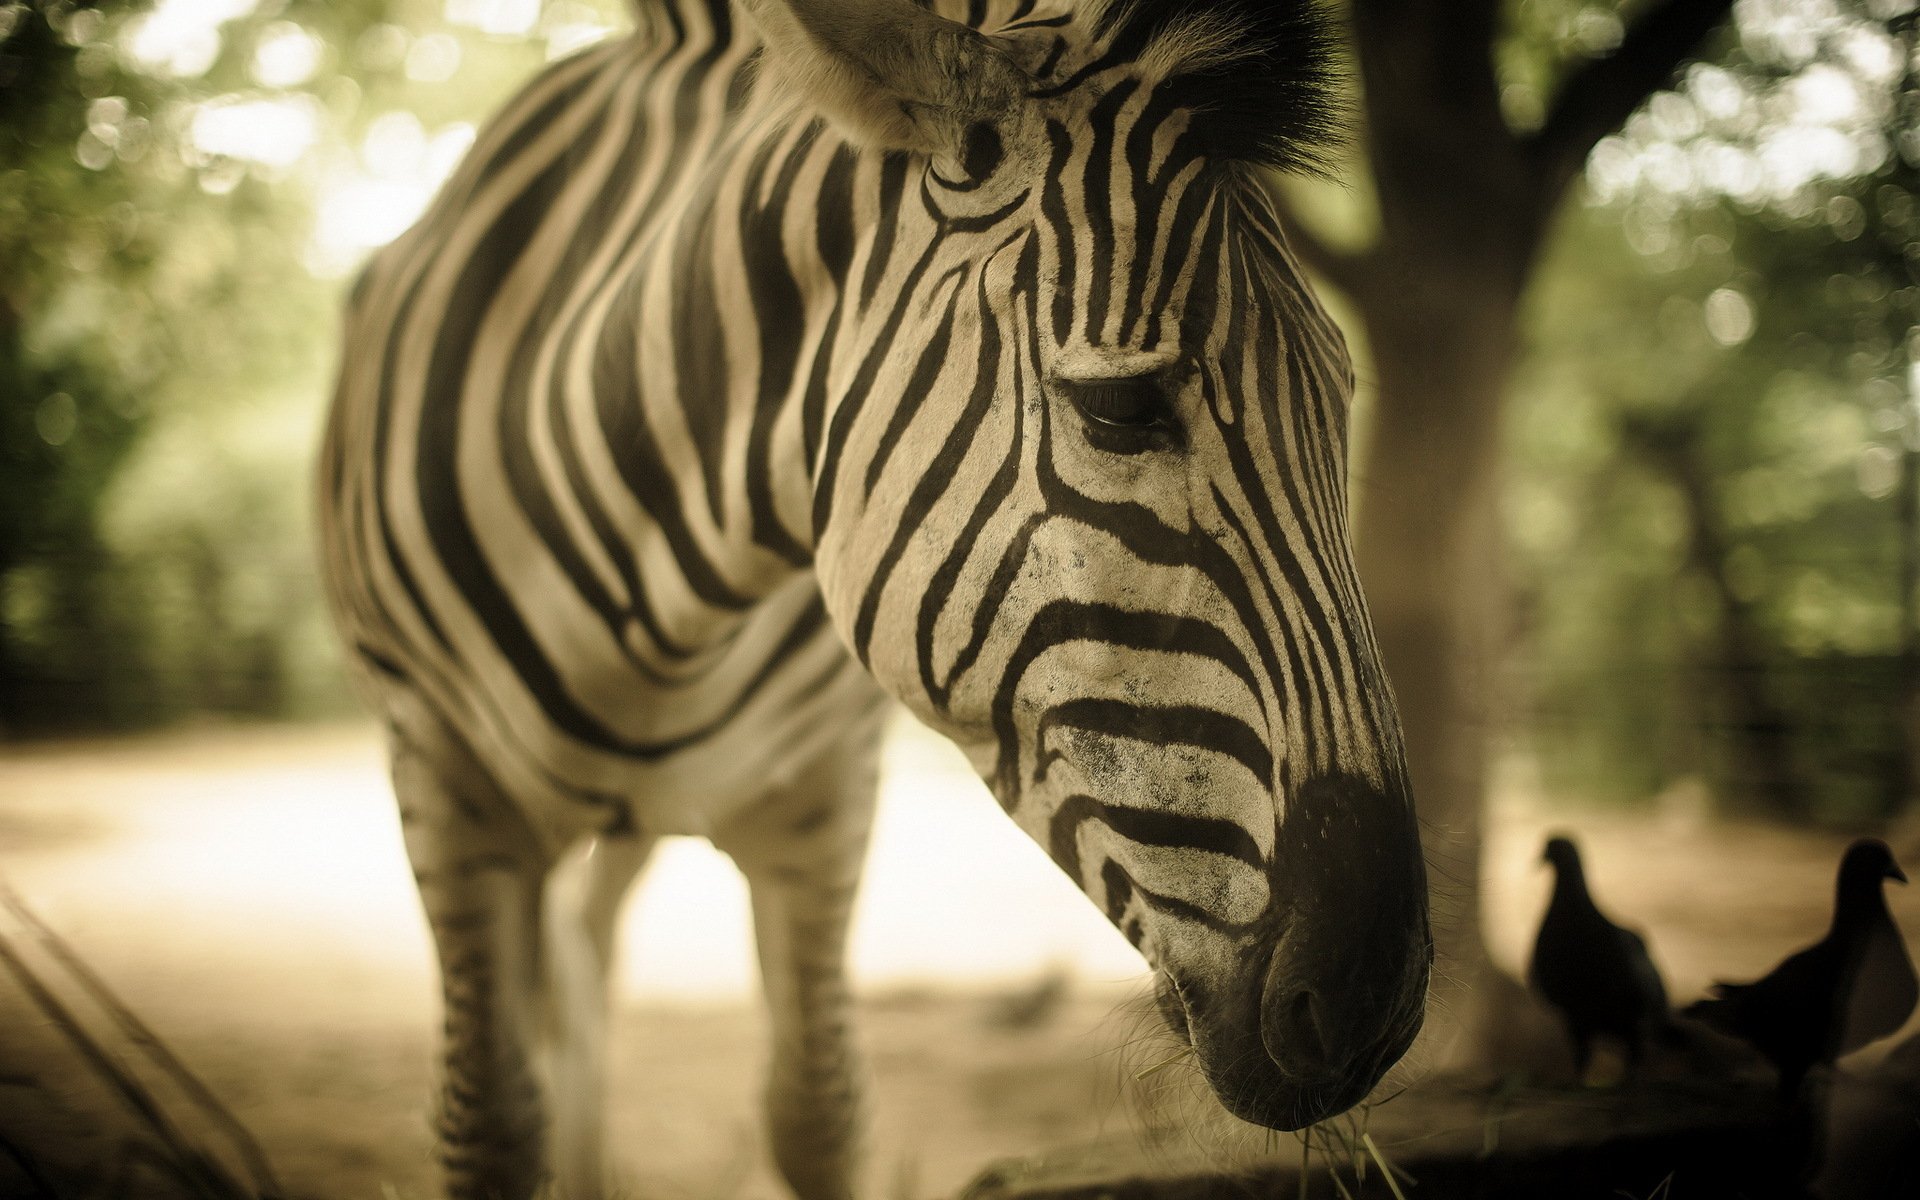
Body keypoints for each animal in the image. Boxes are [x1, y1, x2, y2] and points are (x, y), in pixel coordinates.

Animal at [317, 1, 1431, 1197]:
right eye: (1120, 408)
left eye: (1344, 396)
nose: (1375, 1005)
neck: (659, 612)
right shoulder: (442, 777)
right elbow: (489, 1124)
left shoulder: (823, 794)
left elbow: (817, 1110)